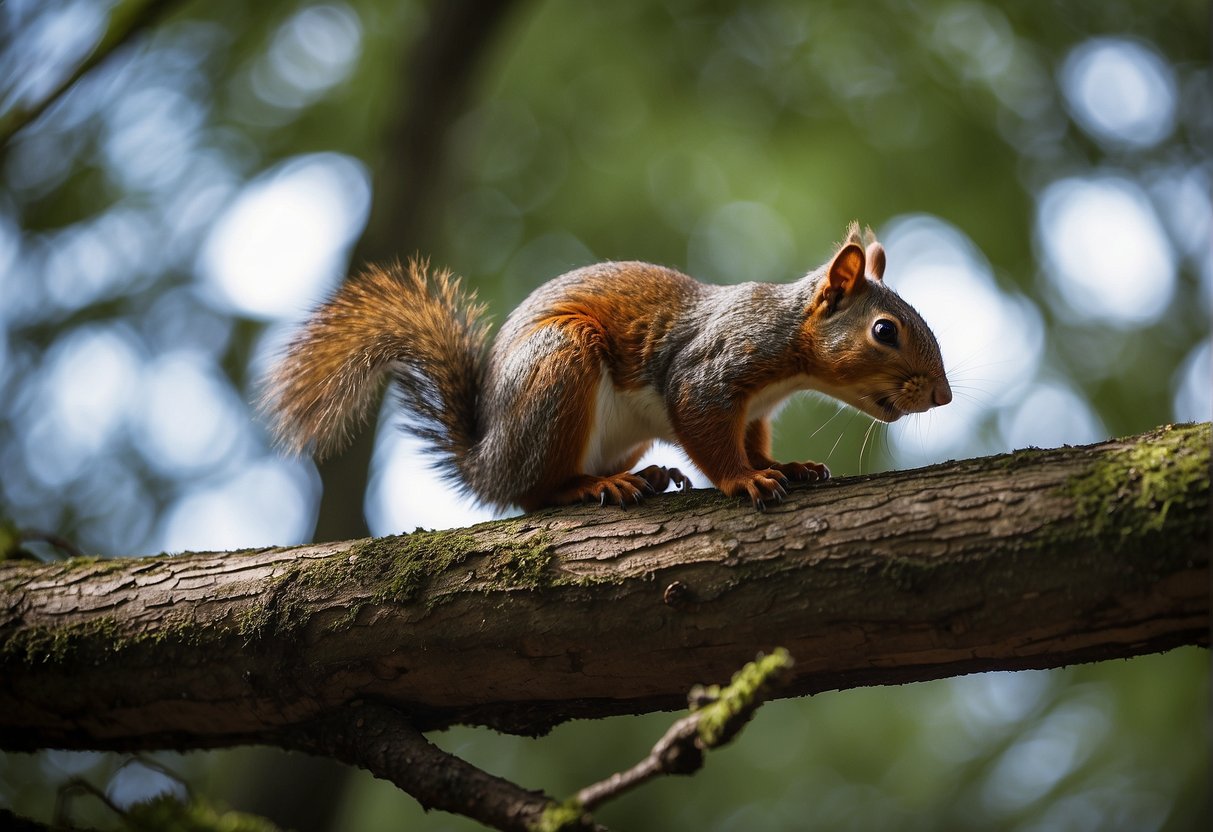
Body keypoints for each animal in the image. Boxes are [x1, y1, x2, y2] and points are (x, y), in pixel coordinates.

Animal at [265, 222, 951, 511]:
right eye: (884, 331)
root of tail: (489, 463)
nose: (943, 397)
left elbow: (754, 442)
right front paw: (744, 481)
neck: (791, 352)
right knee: (535, 495)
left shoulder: (755, 412)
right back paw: (590, 487)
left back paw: (642, 477)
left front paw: (785, 467)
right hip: (559, 370)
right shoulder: (713, 369)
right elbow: (707, 431)